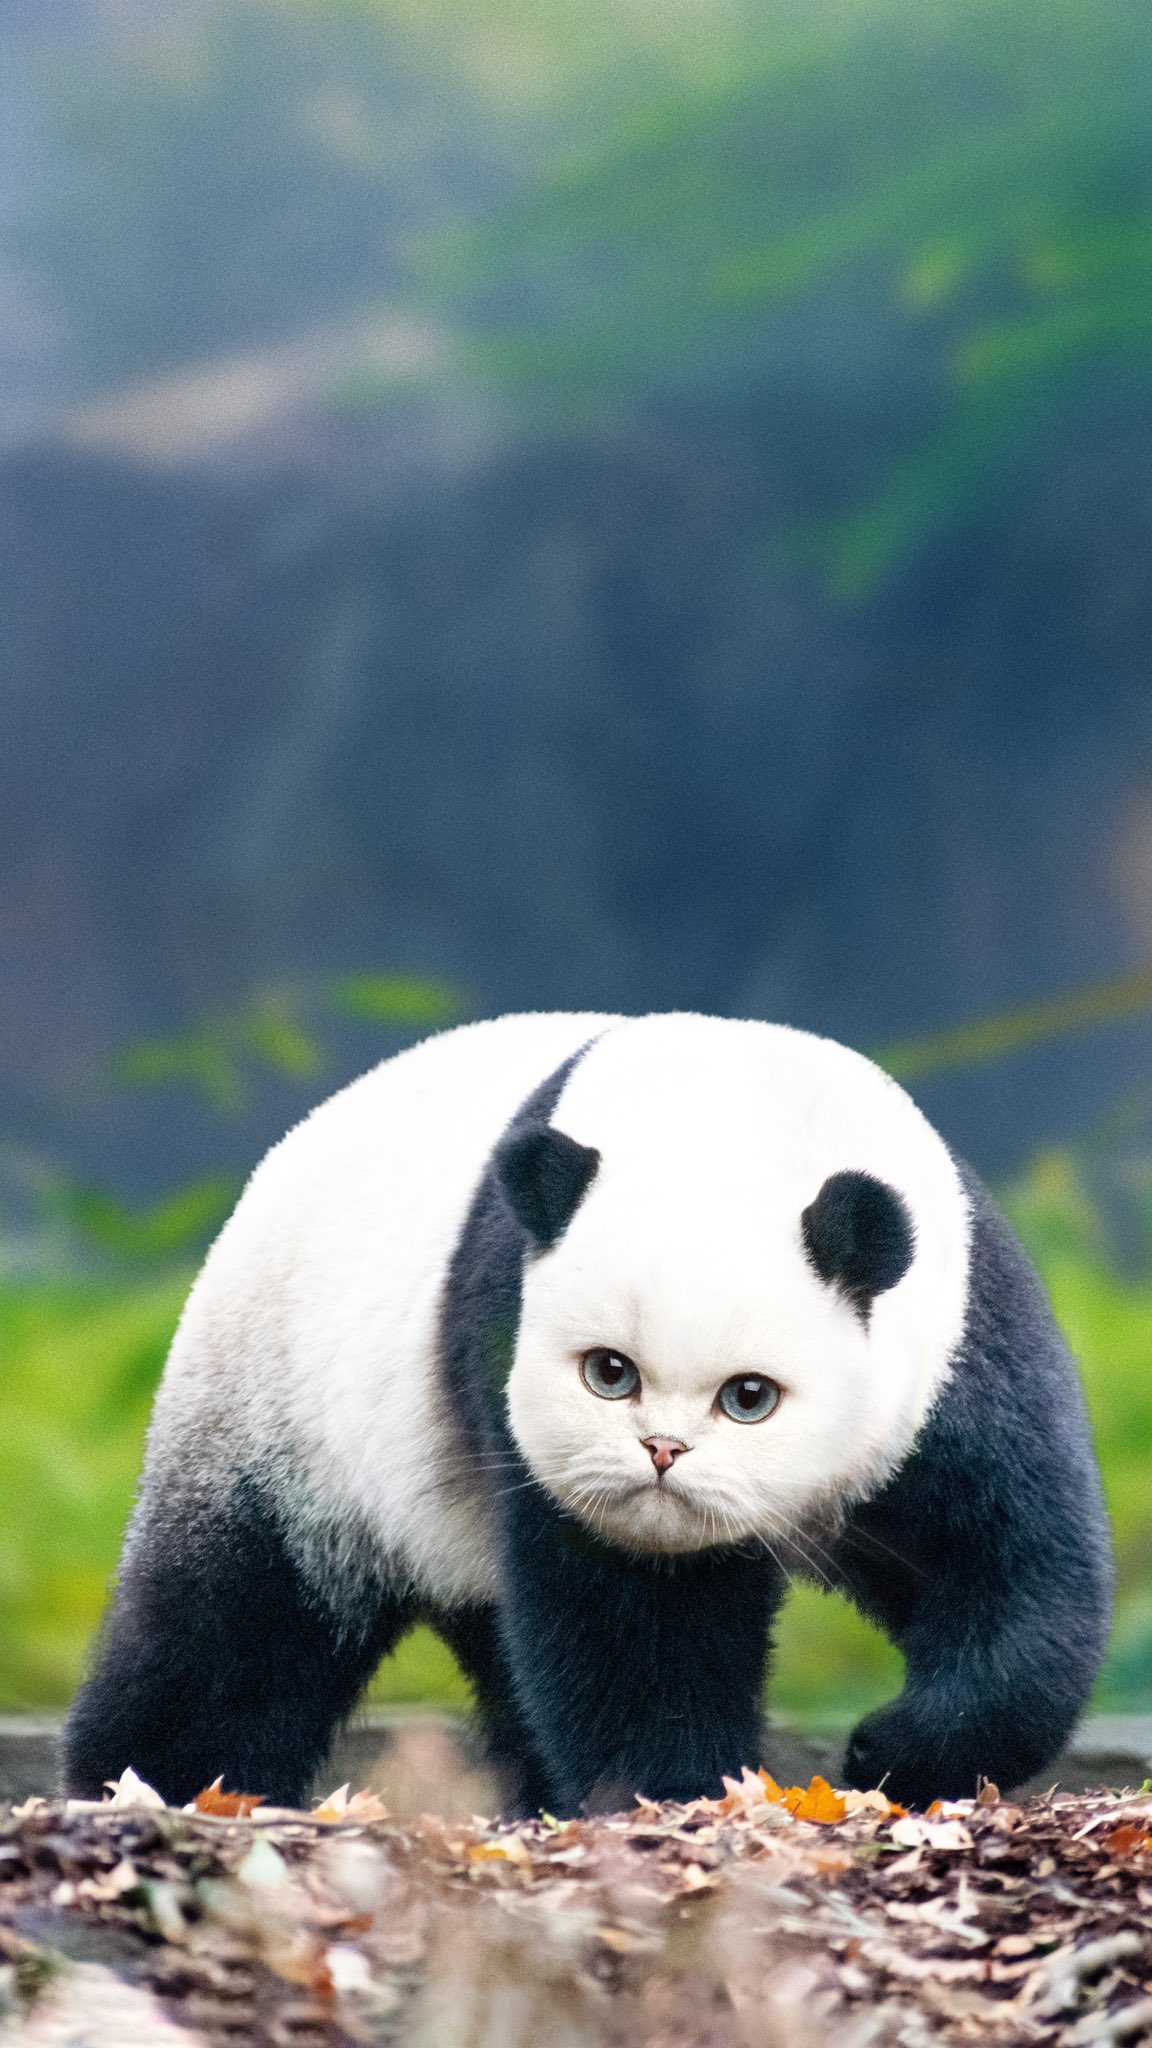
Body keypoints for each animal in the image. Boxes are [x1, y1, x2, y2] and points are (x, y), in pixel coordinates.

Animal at [64, 1011, 1112, 1815]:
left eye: (750, 1396)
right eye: (610, 1373)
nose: (661, 1454)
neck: (731, 1127)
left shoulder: (957, 1343)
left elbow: (1010, 1564)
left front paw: (893, 1752)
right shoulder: (507, 1337)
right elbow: (630, 1616)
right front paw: (683, 1794)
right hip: (285, 1411)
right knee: (237, 1622)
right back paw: (156, 1783)